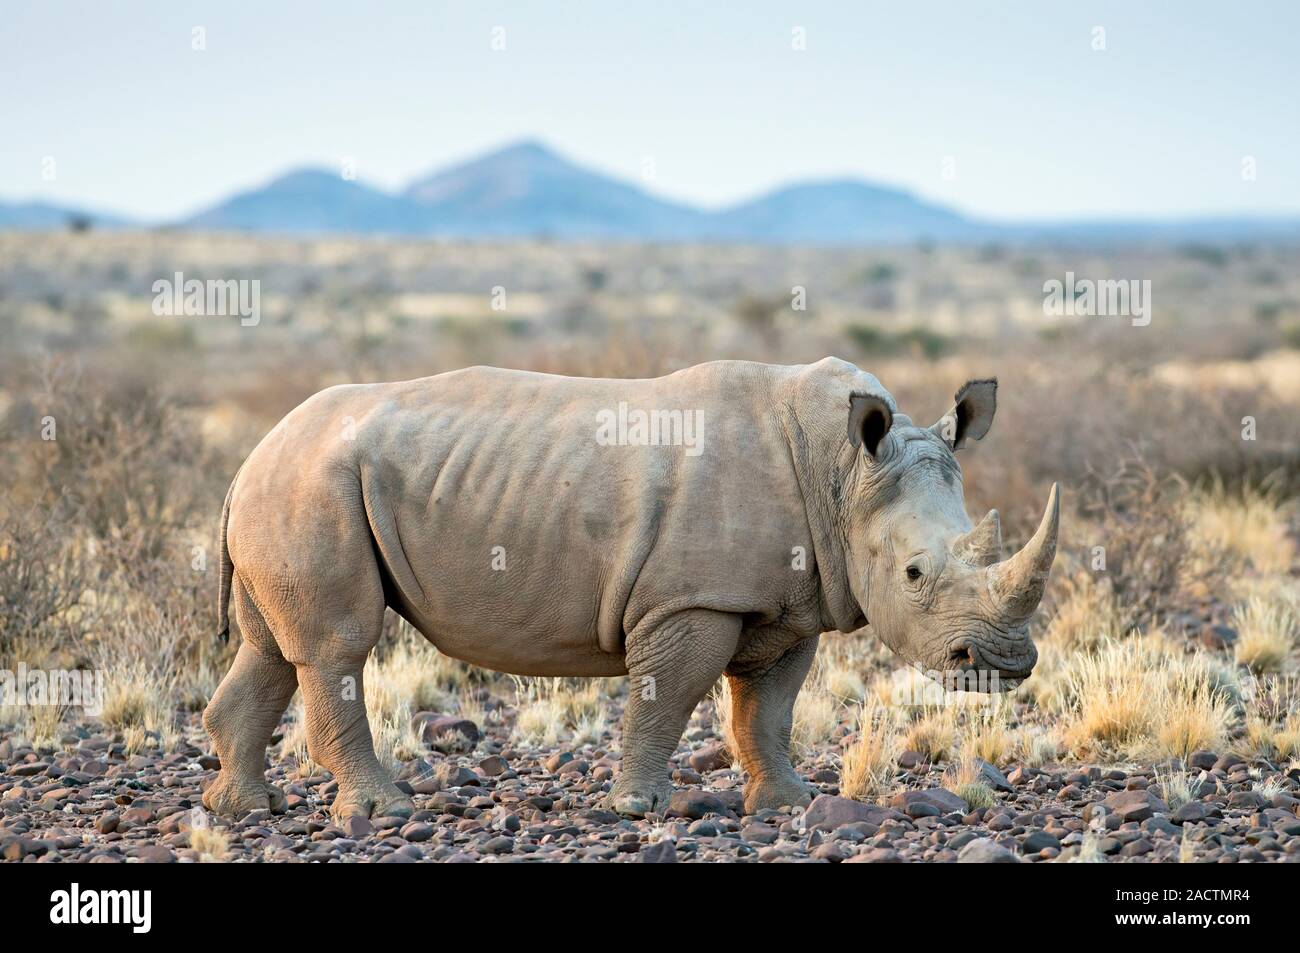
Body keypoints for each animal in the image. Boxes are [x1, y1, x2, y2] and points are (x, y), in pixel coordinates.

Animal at [202, 357, 1058, 820]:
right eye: (914, 574)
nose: (1006, 664)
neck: (845, 473)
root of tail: (248, 456)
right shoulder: (691, 600)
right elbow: (668, 699)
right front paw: (638, 807)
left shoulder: (790, 602)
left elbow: (768, 711)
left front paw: (786, 804)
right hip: (313, 483)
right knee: (336, 647)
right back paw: (383, 810)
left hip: (293, 484)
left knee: (271, 650)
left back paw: (244, 809)